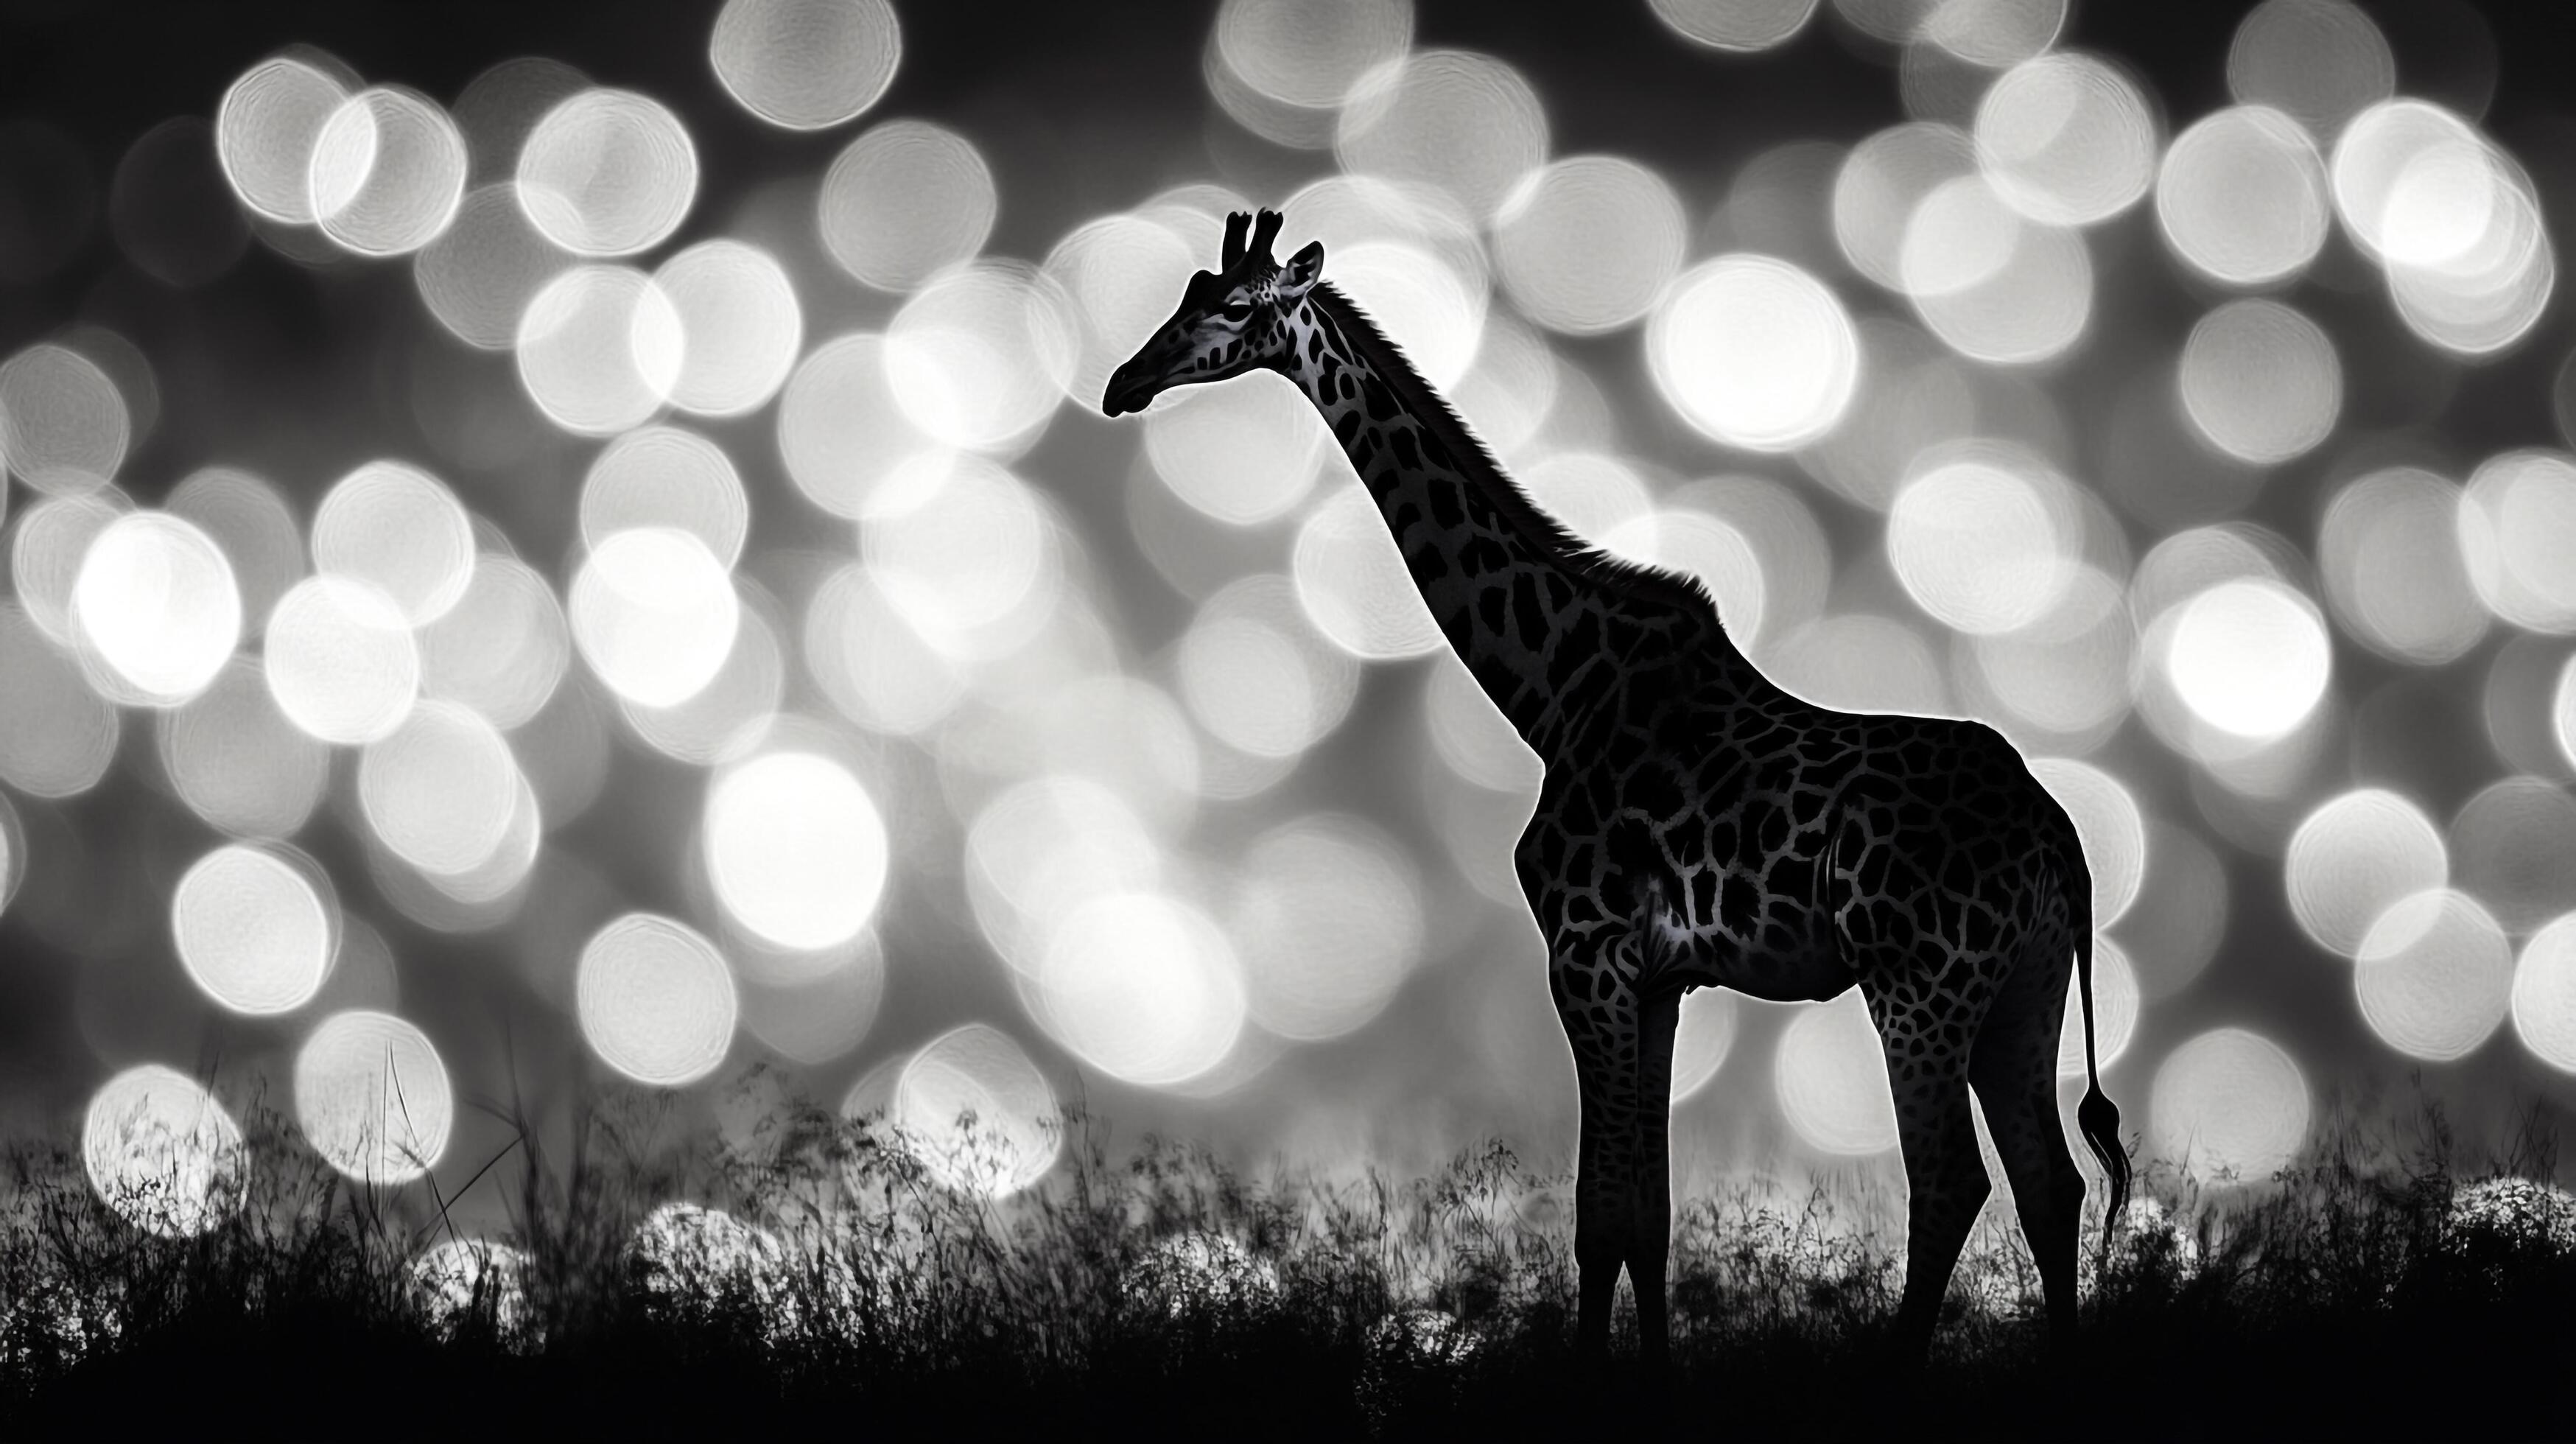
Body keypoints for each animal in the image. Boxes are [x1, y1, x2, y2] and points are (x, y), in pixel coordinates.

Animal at [1103, 209, 2131, 1368]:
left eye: (1235, 307)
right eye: (1186, 292)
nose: (1123, 382)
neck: (1549, 683)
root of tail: (2059, 840)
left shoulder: (1583, 951)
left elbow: (1601, 1216)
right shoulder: (1658, 977)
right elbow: (1647, 1213)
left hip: (1917, 982)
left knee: (1953, 1179)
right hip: (2021, 986)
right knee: (2051, 1182)